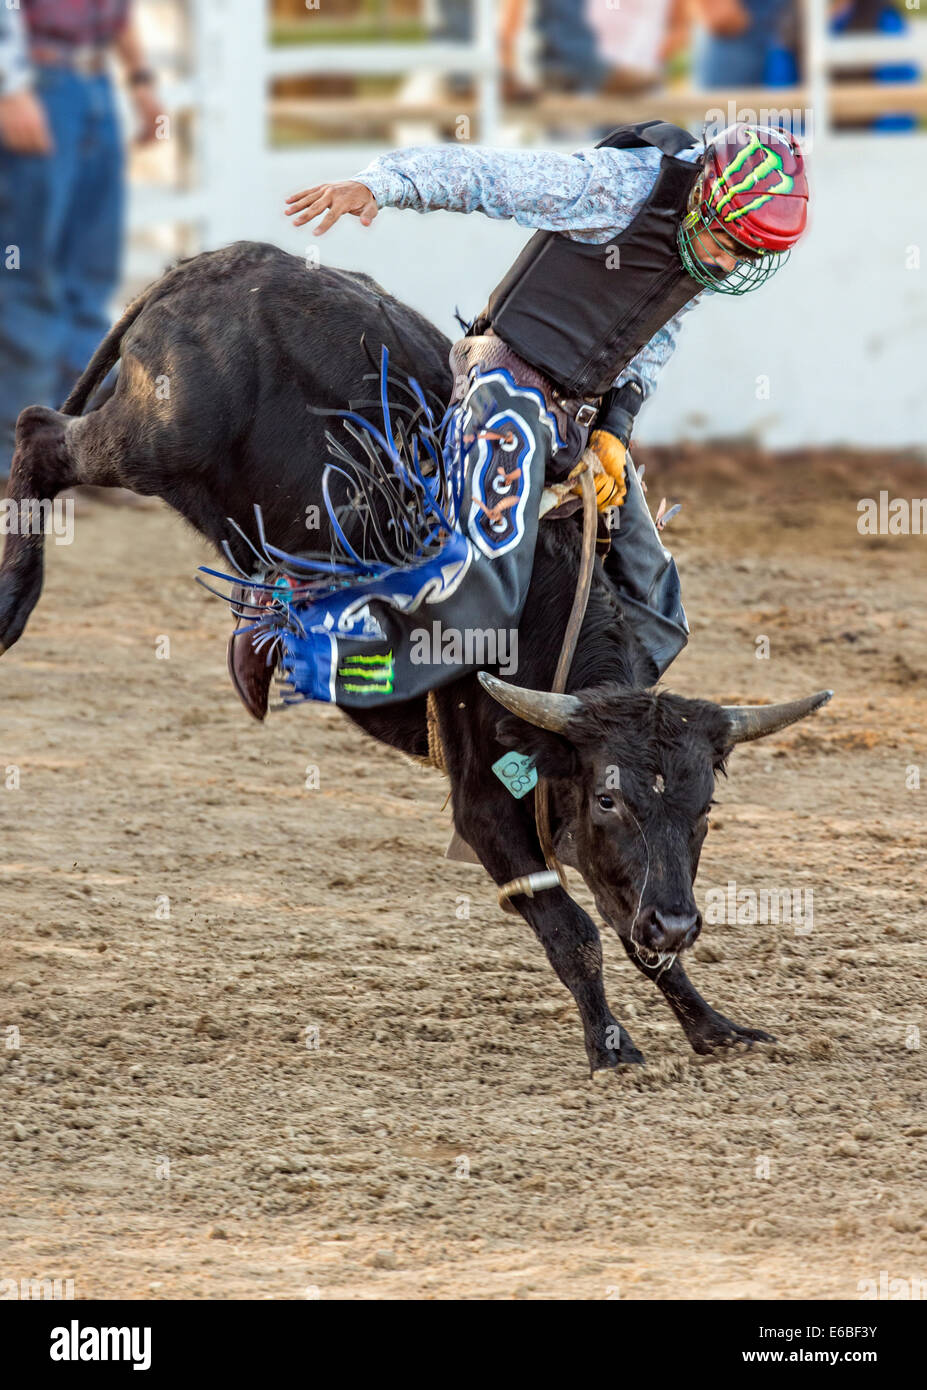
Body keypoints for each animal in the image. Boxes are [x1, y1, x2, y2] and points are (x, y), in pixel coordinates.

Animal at [0, 242, 831, 1073]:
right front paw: (609, 1043)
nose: (677, 923)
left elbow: (629, 931)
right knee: (40, 430)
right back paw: (13, 600)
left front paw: (712, 1023)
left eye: (705, 810)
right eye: (608, 799)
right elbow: (572, 930)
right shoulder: (484, 802)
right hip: (154, 442)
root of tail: (221, 262)